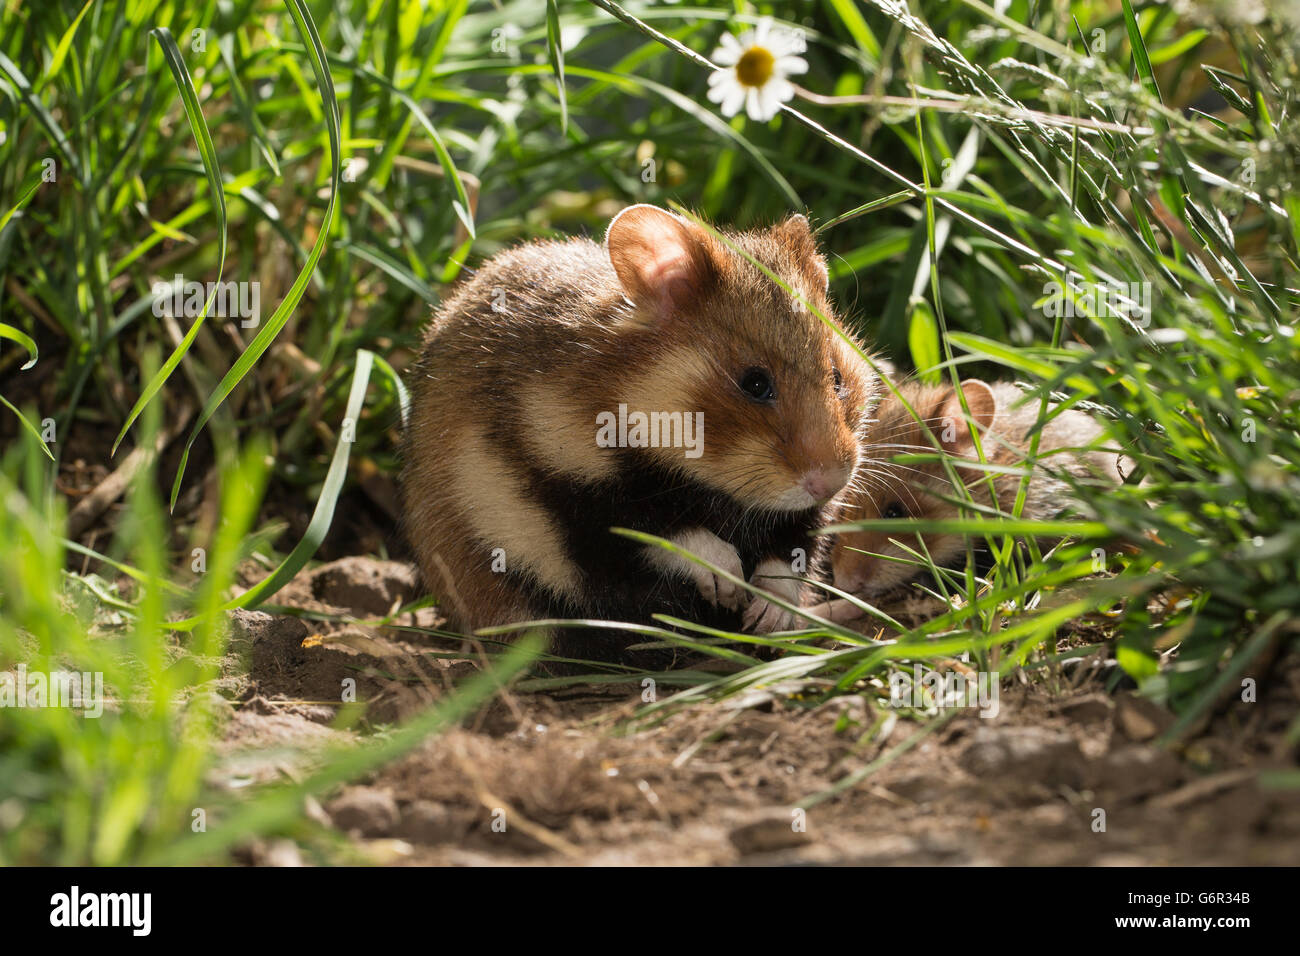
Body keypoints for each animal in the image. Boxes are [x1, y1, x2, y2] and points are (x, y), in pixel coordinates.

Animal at [401, 204, 882, 665]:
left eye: (837, 377)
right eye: (755, 383)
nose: (832, 480)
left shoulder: (804, 516)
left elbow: (791, 548)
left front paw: (765, 613)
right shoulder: (575, 486)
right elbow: (661, 533)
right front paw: (728, 584)